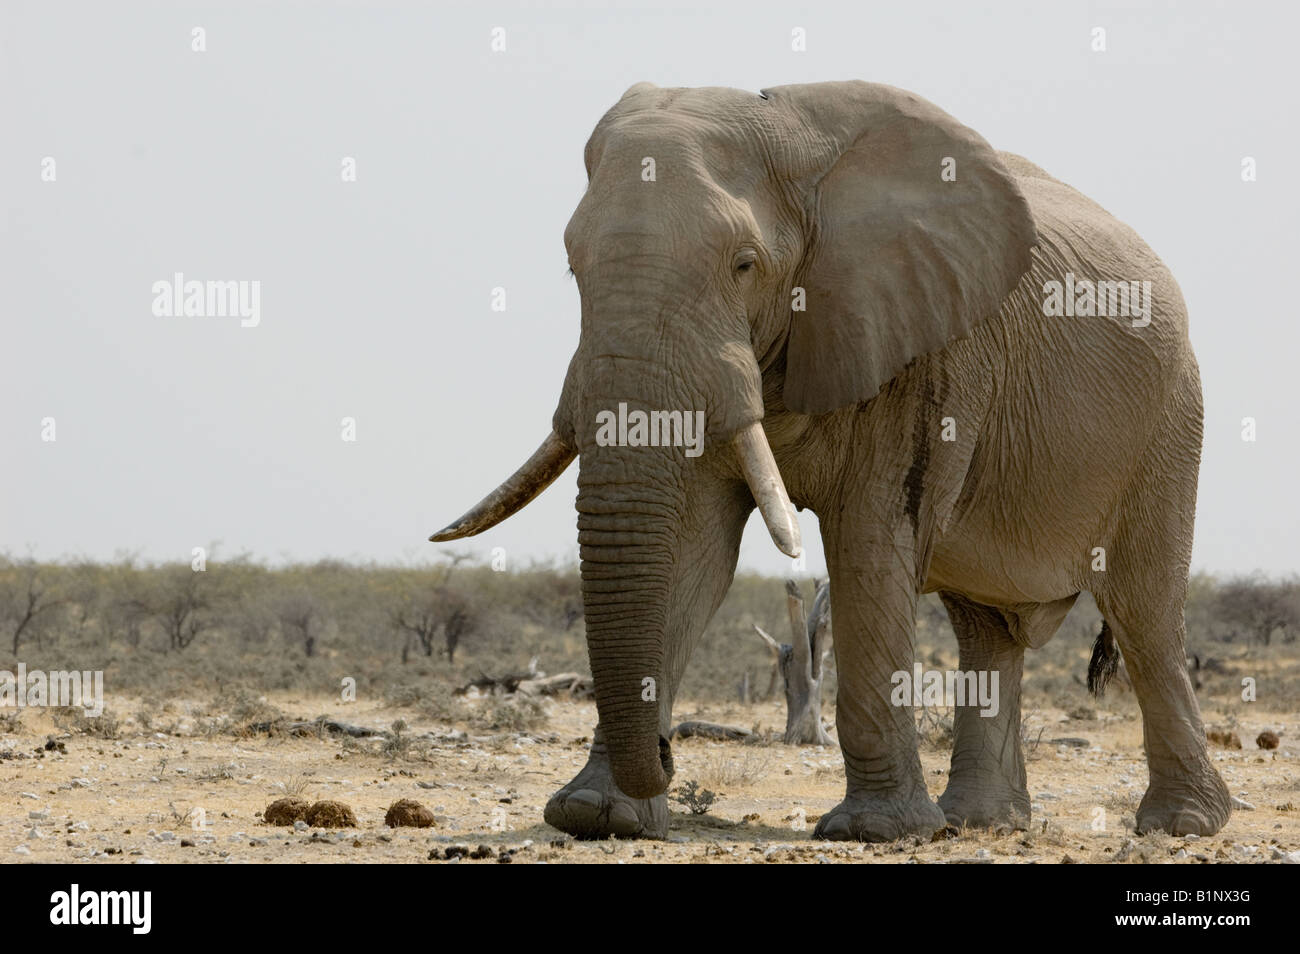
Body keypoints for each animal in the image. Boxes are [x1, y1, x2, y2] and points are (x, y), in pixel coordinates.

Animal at [432, 81, 1232, 842]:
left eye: (744, 264)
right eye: (573, 266)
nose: (666, 756)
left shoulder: (924, 349)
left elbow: (867, 546)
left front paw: (875, 831)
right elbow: (691, 553)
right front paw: (599, 817)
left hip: (1172, 423)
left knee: (1144, 614)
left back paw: (1182, 824)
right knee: (985, 627)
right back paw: (981, 822)